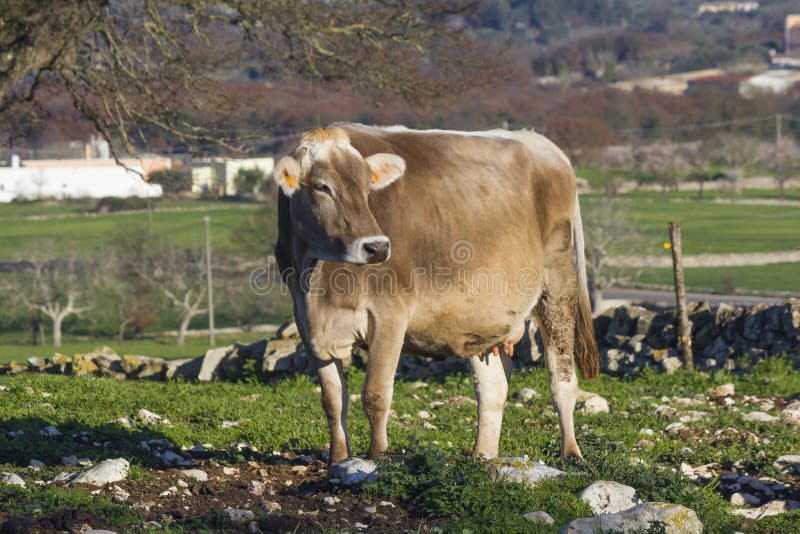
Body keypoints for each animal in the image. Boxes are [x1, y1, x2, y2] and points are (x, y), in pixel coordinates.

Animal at [272, 124, 599, 464]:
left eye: (367, 186)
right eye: (322, 187)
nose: (377, 247)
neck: (319, 282)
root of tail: (540, 141)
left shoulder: (390, 315)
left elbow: (376, 395)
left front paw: (377, 458)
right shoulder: (306, 322)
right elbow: (333, 400)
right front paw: (338, 459)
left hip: (558, 280)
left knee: (561, 376)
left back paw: (570, 452)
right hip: (485, 320)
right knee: (493, 388)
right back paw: (482, 458)